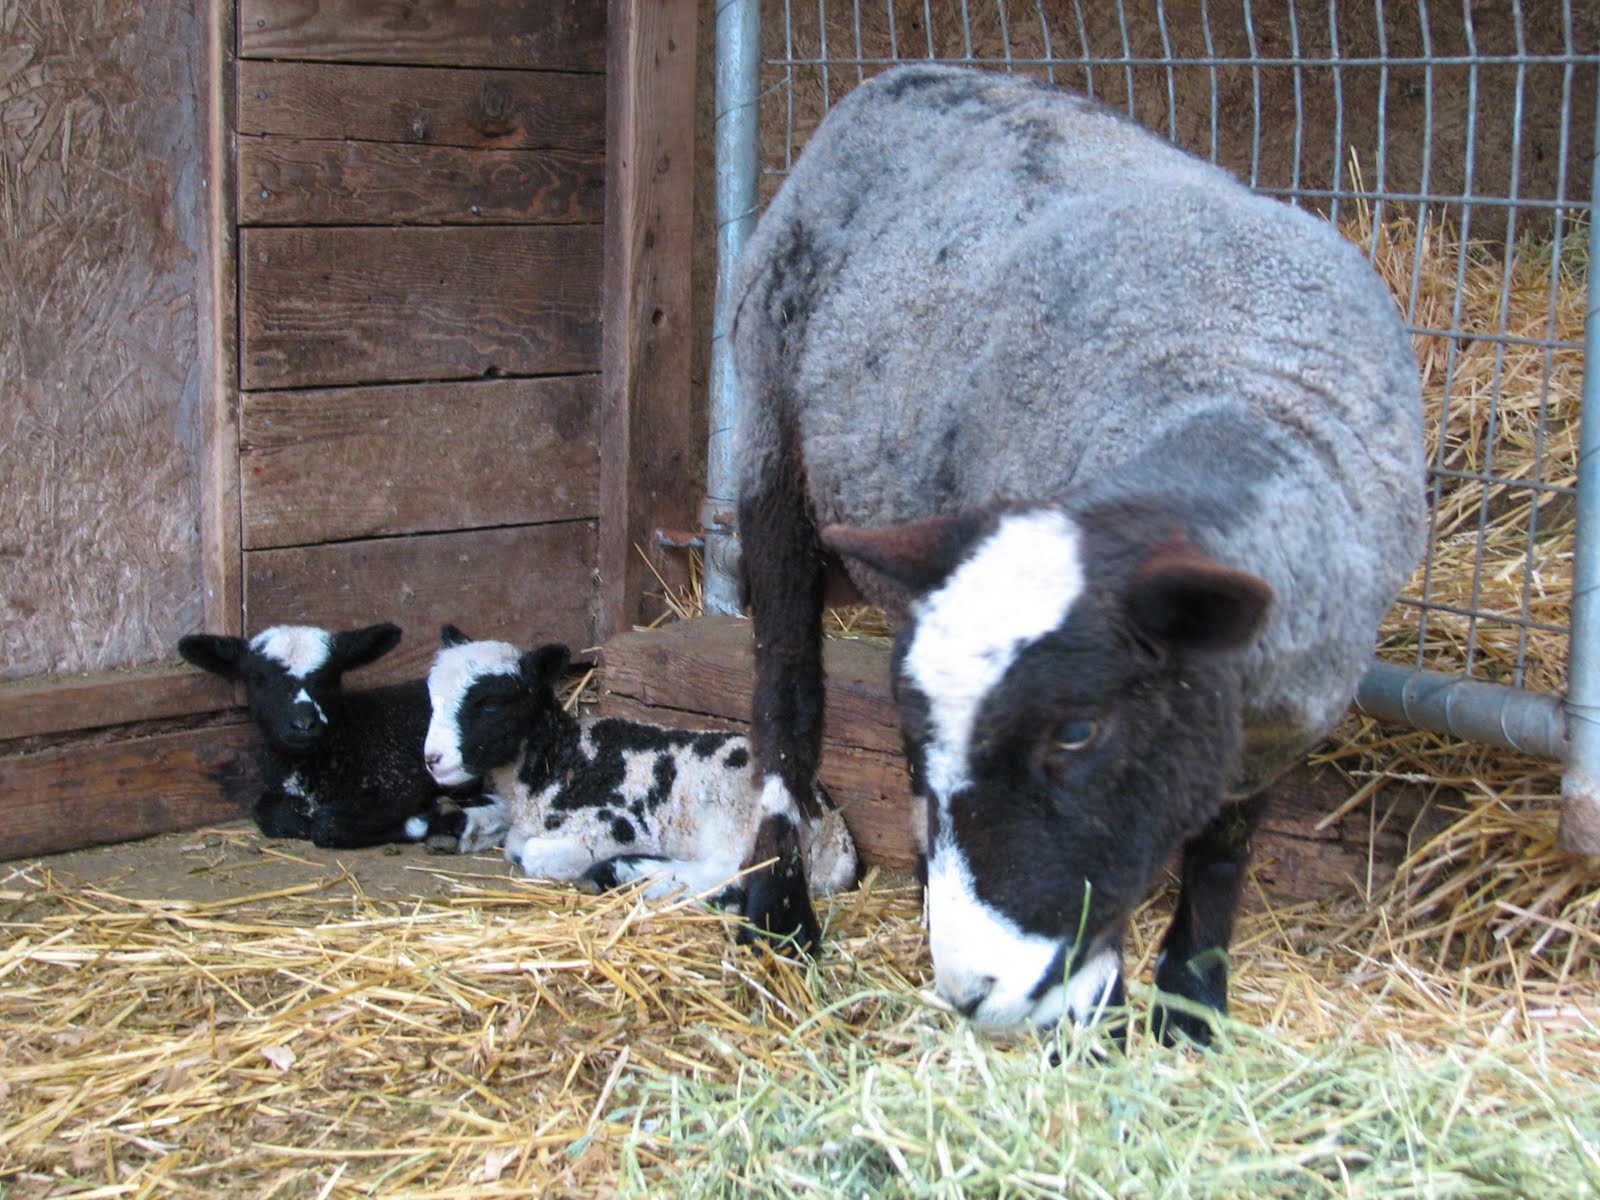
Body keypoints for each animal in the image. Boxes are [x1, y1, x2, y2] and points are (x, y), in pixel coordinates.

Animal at [177, 623, 507, 852]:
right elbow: (267, 811)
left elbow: (328, 826)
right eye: (257, 679)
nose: (303, 725)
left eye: (328, 678)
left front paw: (428, 818)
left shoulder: (402, 780)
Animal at [422, 625, 858, 917]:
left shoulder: (615, 825)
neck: (563, 761)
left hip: (739, 822)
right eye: (432, 697)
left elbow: (527, 852)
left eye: (491, 703)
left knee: (731, 878)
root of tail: (836, 837)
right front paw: (453, 826)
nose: (432, 758)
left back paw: (626, 872)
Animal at [728, 65, 1425, 1039]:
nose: (973, 989)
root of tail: (903, 78)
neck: (1242, 401)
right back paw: (779, 919)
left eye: (1077, 730)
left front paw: (1194, 1010)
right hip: (771, 440)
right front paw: (1097, 1026)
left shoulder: (1268, 727)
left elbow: (1222, 849)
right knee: (786, 706)